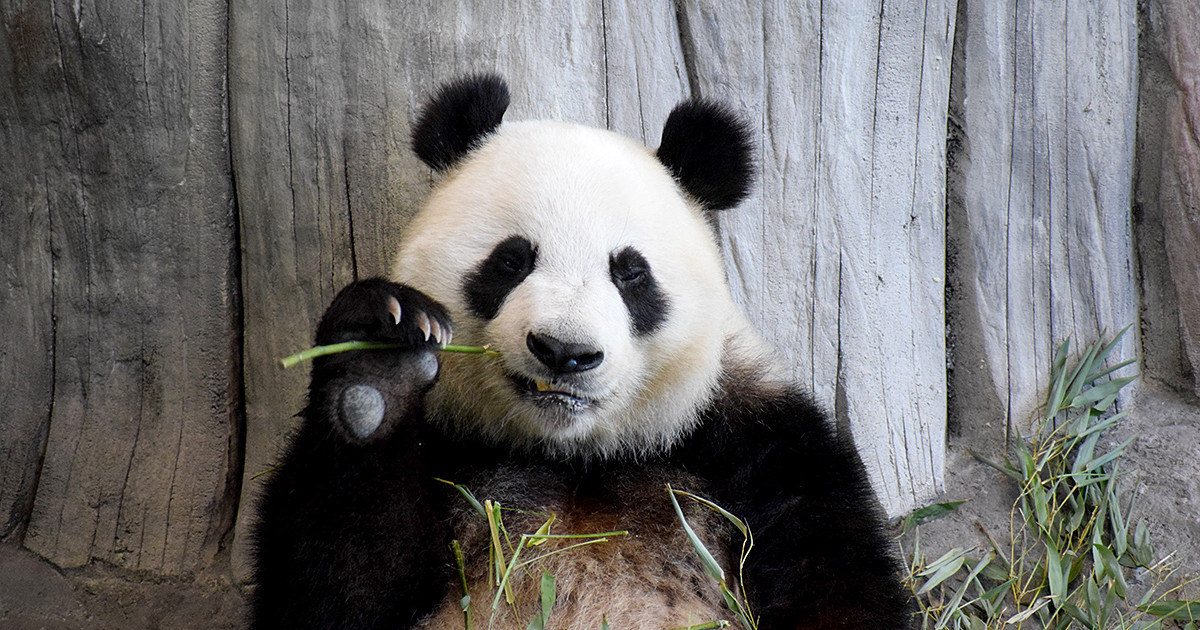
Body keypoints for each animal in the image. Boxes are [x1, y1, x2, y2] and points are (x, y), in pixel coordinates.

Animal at [251, 74, 911, 630]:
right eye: (511, 260)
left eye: (631, 273)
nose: (564, 351)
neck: (577, 457)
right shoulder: (452, 449)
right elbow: (339, 590)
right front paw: (378, 365)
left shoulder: (762, 446)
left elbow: (837, 583)